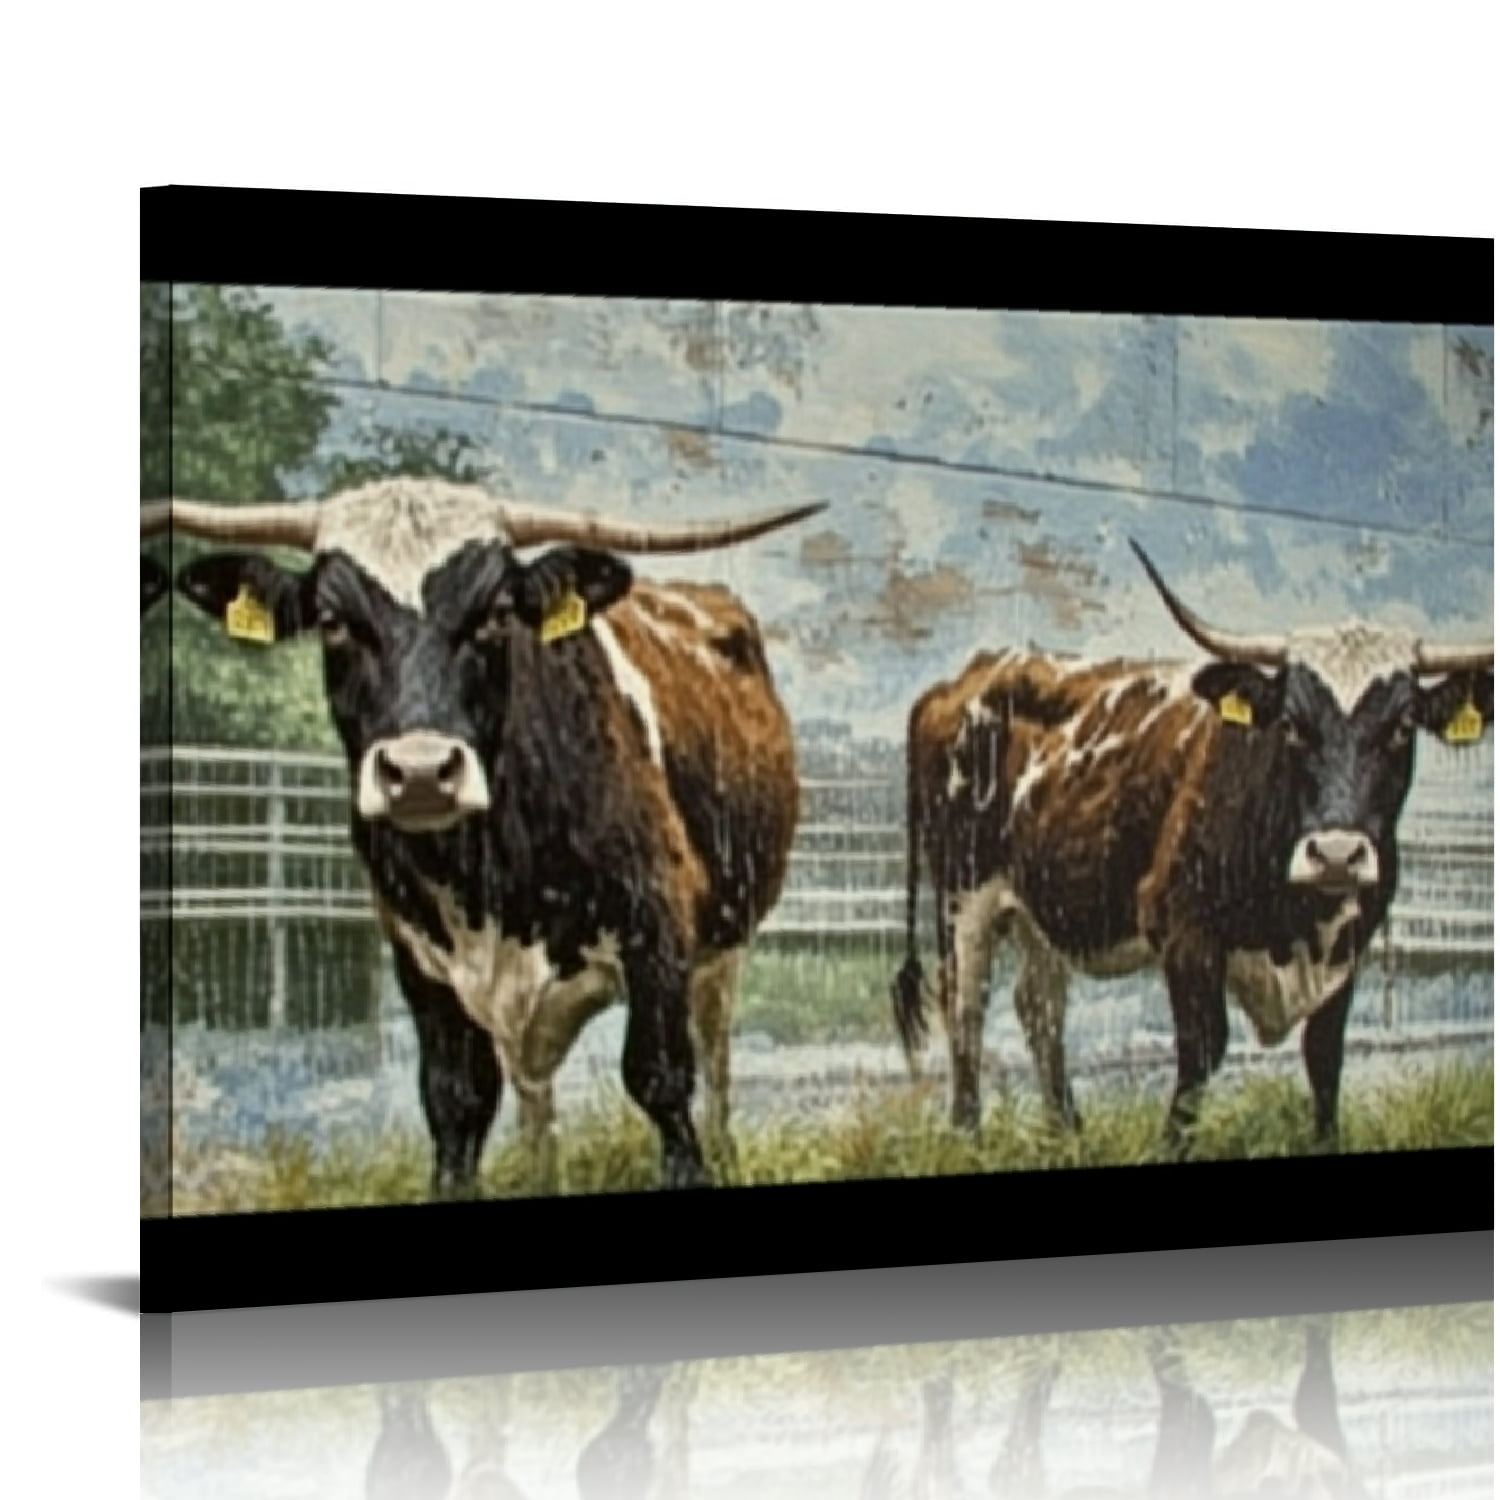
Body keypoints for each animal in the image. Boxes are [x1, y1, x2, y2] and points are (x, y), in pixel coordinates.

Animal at [143, 478, 822, 1196]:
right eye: (332, 621)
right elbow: (455, 1100)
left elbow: (659, 1077)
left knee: (714, 1060)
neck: (489, 874)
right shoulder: (420, 962)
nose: (418, 773)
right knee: (535, 1100)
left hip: (722, 948)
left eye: (496, 613)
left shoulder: (658, 935)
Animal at [892, 540, 1493, 1154]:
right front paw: (1171, 1145)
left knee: (1040, 1007)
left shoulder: (1350, 946)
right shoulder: (1186, 933)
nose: (1337, 854)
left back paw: (1067, 1134)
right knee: (965, 1003)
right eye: (1291, 724)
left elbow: (1324, 1056)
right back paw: (968, 1134)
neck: (1299, 921)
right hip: (964, 894)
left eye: (1402, 727)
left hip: (1041, 908)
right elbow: (1202, 1051)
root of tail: (964, 678)